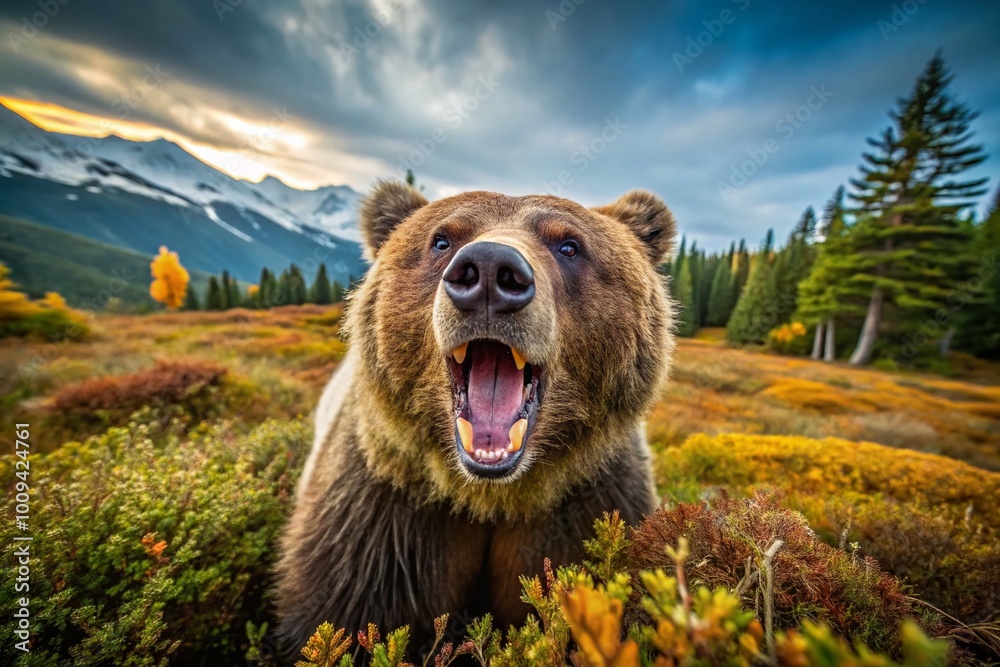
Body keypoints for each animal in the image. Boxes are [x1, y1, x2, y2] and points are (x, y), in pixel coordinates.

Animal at [274, 182, 677, 662]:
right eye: (441, 240)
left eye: (569, 245)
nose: (489, 269)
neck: (488, 494)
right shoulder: (380, 519)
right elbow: (341, 610)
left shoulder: (588, 502)